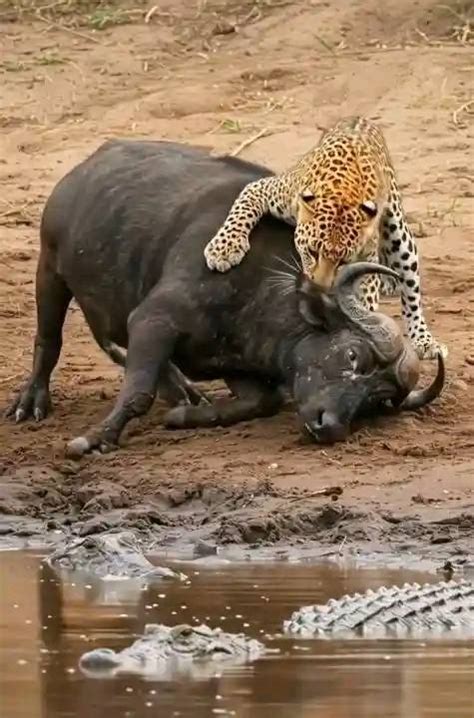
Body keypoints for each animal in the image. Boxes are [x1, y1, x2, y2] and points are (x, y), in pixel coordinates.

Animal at [6, 140, 444, 456]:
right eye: (353, 356)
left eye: (379, 400)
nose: (329, 425)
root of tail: (87, 164)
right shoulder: (154, 318)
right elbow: (137, 394)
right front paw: (94, 439)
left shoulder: (235, 359)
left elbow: (262, 402)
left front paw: (184, 415)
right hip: (49, 269)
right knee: (49, 339)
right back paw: (31, 402)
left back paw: (181, 390)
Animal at [204, 116, 447, 361]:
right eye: (312, 252)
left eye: (343, 262)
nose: (318, 291)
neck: (343, 193)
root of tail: (358, 117)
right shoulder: (262, 188)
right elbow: (242, 209)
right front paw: (223, 250)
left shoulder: (367, 259)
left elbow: (366, 300)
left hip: (399, 233)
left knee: (411, 294)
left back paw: (424, 340)